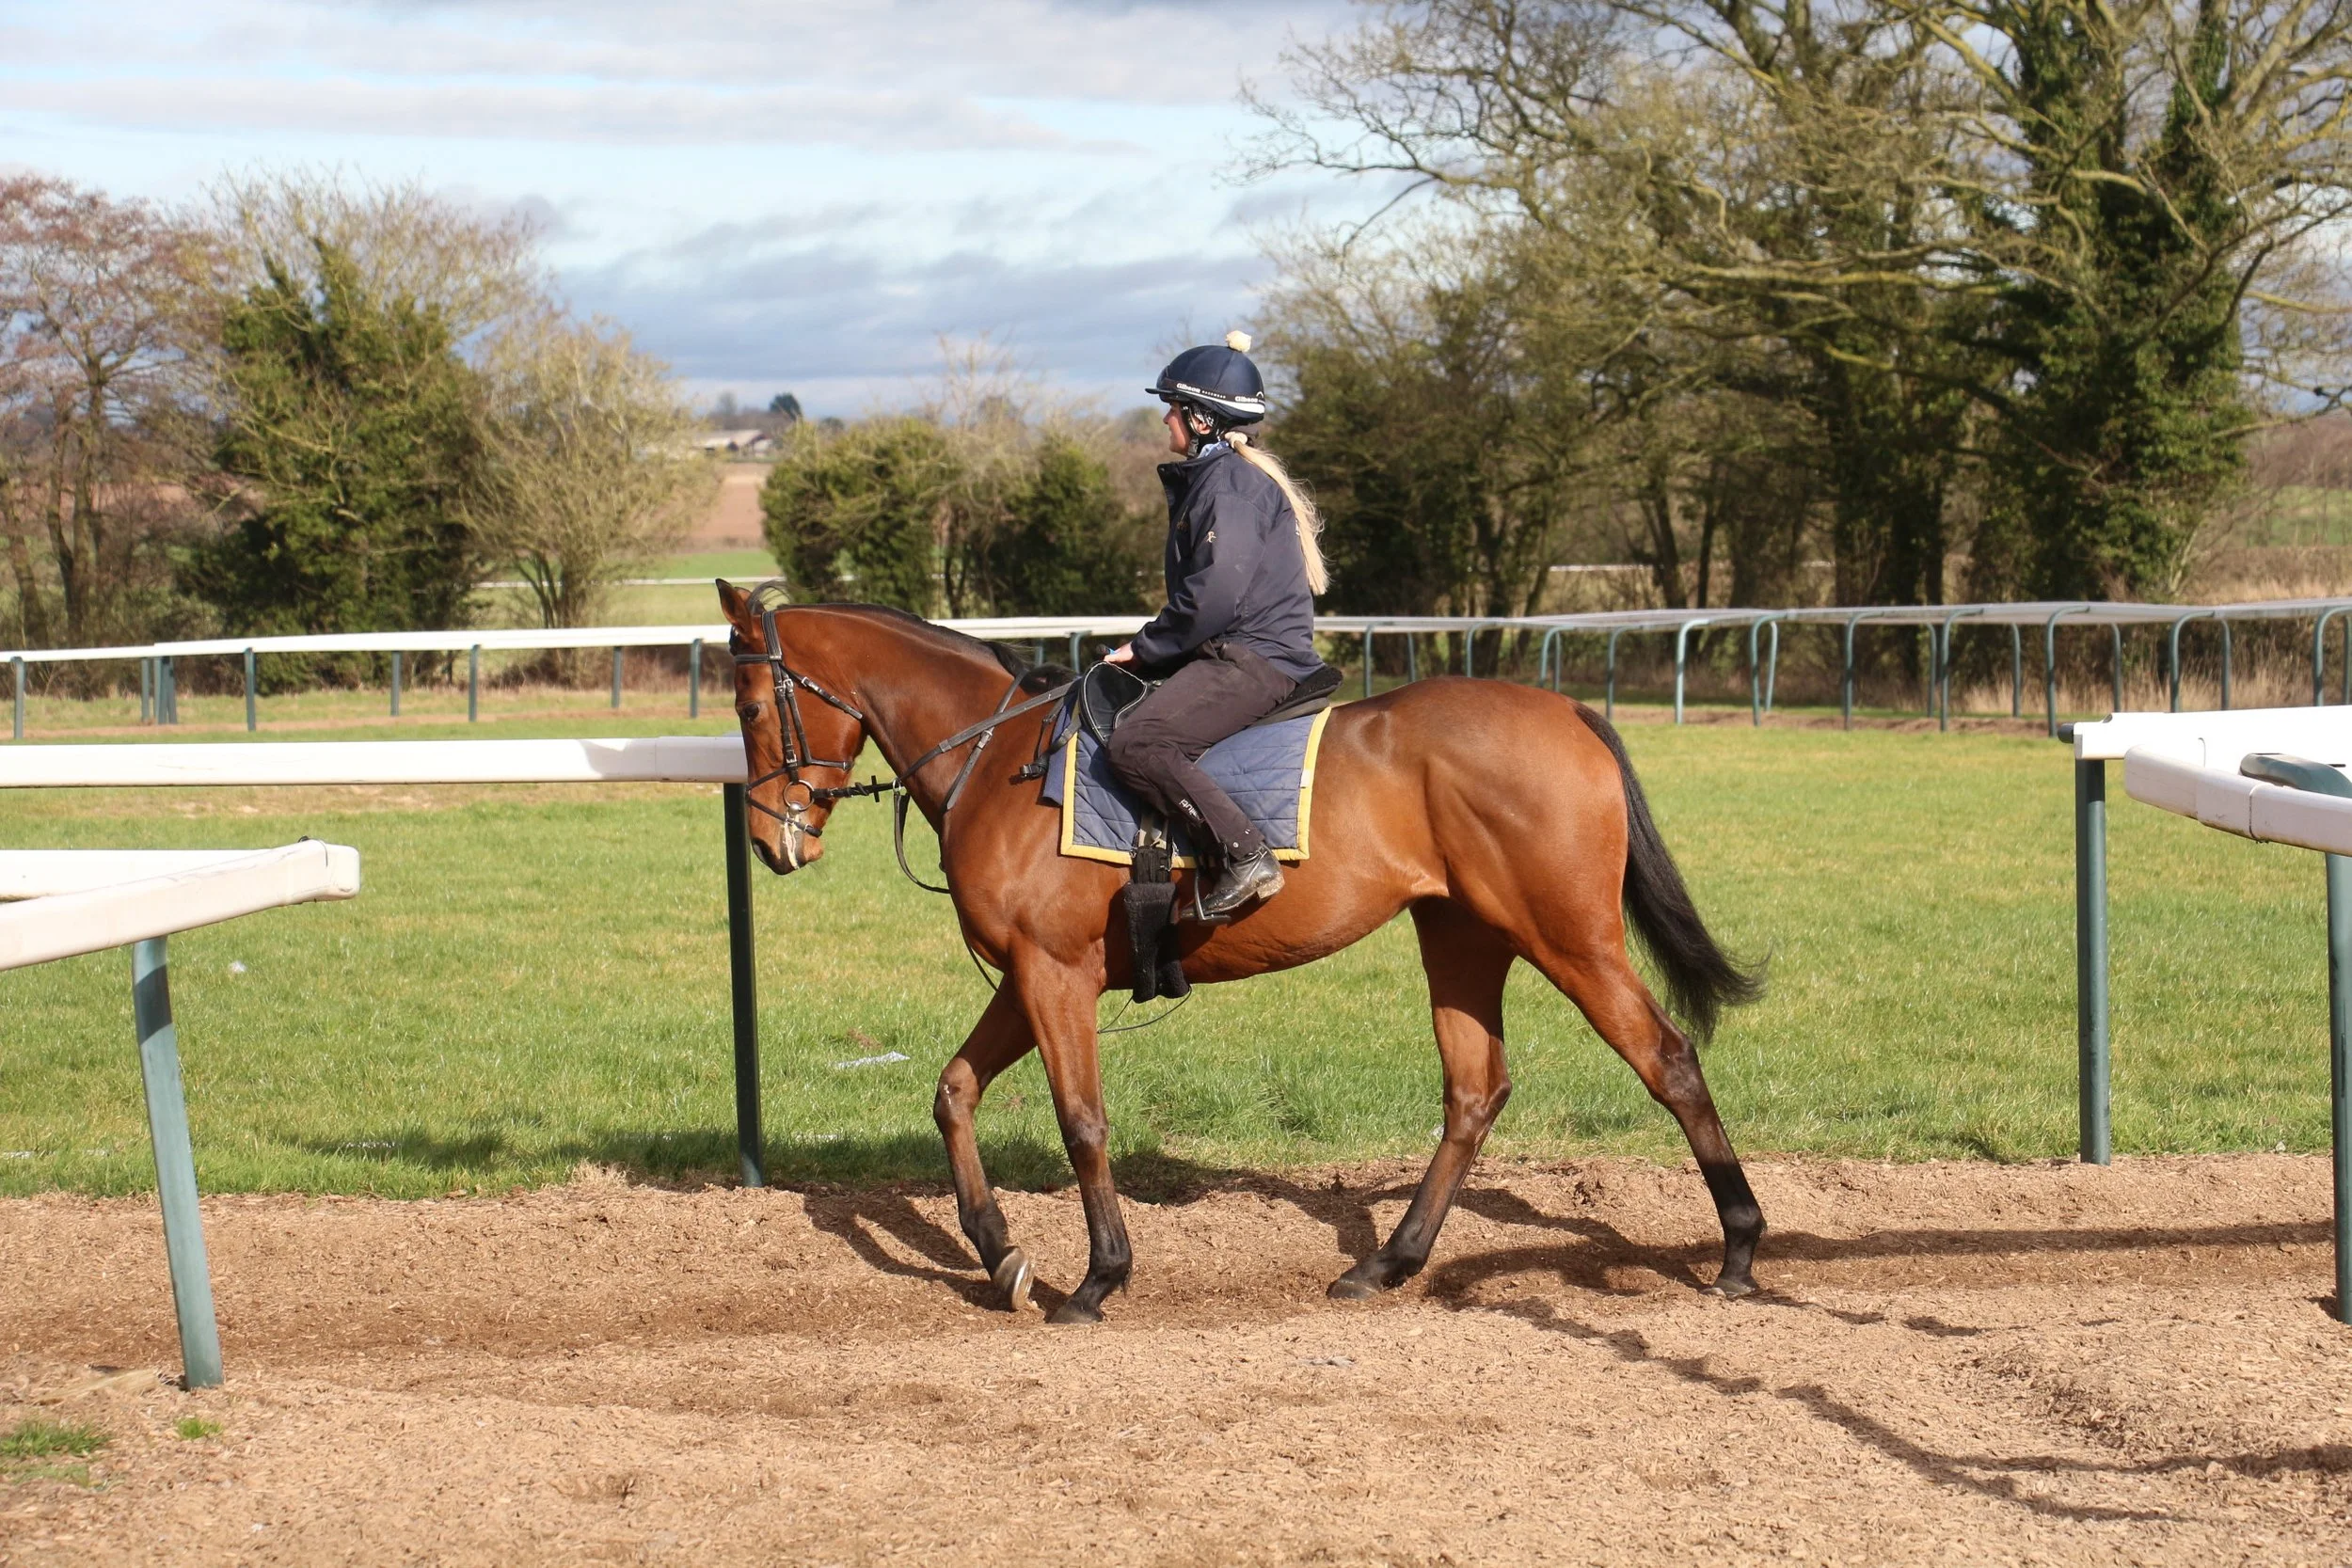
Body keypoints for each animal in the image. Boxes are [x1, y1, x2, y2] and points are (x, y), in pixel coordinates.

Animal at [718, 584, 1766, 1324]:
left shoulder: (1055, 973)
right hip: (1462, 936)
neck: (1001, 758)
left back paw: (1742, 1245)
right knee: (1476, 1090)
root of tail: (1564, 709)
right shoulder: (1029, 975)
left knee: (1668, 1058)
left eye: (751, 706)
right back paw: (1387, 1261)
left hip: (1568, 937)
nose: (773, 840)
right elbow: (953, 1091)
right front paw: (999, 1252)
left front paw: (1099, 1276)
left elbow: (1081, 1121)